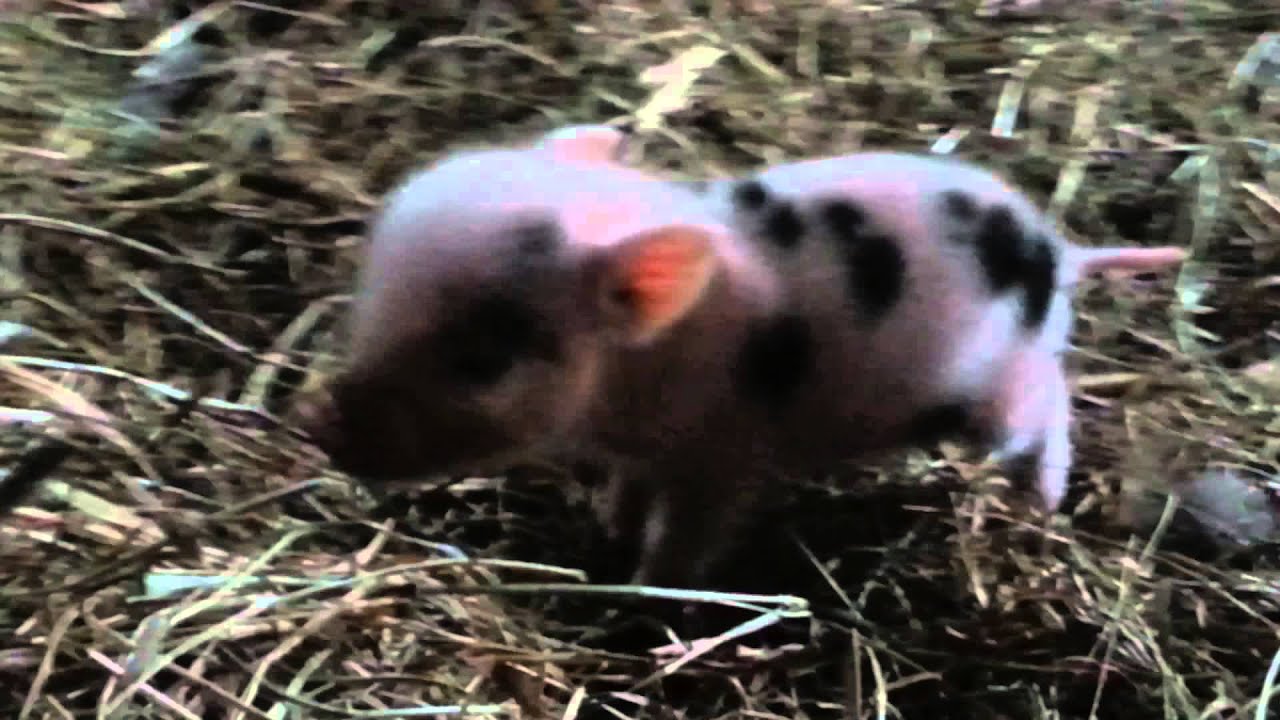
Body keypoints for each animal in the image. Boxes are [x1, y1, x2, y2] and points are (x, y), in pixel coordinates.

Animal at [301, 124, 1187, 589]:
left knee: (1053, 408)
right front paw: (607, 536)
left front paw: (645, 596)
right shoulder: (644, 451)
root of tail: (1061, 252)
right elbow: (628, 496)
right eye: (371, 299)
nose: (319, 425)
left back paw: (1040, 503)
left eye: (482, 360)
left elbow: (687, 539)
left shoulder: (721, 459)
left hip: (1002, 390)